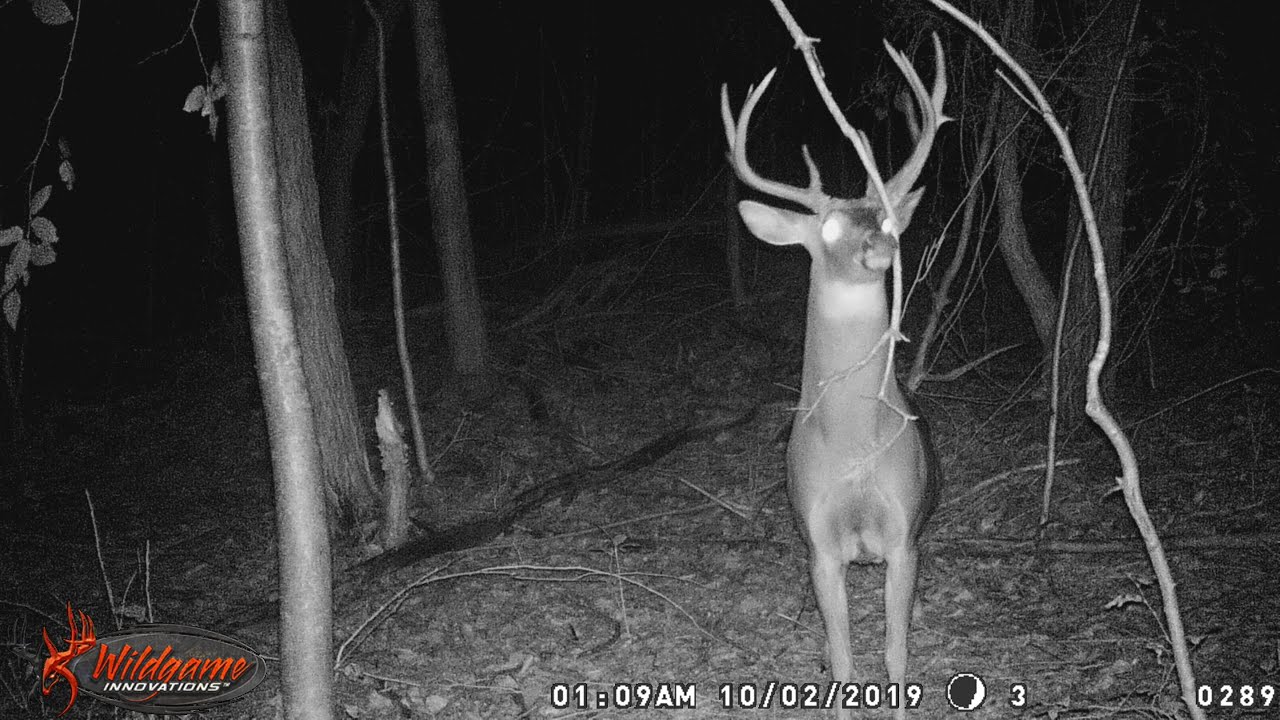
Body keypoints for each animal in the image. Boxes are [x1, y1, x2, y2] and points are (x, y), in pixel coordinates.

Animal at [721, 34, 946, 719]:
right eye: (827, 226)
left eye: (887, 218)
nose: (883, 246)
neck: (852, 449)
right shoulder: (818, 546)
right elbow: (843, 660)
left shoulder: (902, 538)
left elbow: (896, 656)